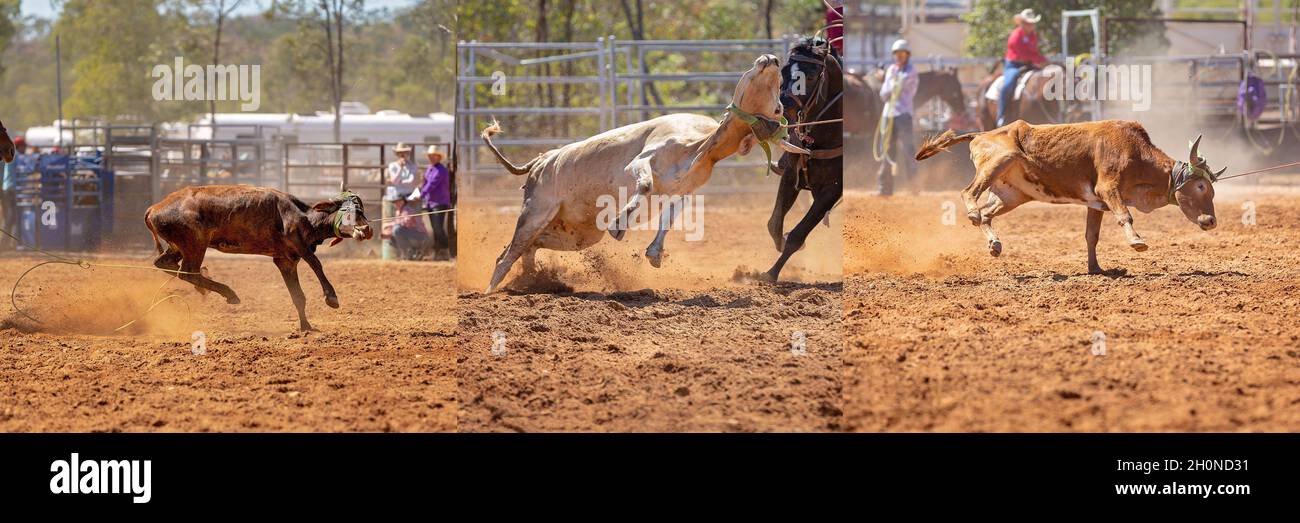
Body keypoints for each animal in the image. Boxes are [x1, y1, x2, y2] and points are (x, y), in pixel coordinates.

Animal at [144, 185, 374, 331]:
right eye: (349, 211)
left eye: (362, 210)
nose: (367, 230)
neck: (302, 216)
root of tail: (154, 208)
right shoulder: (299, 247)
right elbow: (316, 264)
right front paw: (331, 297)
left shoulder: (285, 260)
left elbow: (298, 296)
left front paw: (306, 327)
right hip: (195, 244)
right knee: (188, 271)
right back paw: (228, 293)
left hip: (178, 246)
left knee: (166, 264)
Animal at [914, 119, 1223, 274]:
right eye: (1200, 187)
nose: (1211, 221)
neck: (1135, 152)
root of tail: (982, 133)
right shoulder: (1107, 189)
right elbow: (1125, 215)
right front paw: (1137, 242)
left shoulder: (1097, 204)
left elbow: (1091, 236)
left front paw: (1096, 268)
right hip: (999, 161)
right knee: (969, 194)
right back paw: (973, 214)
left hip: (1012, 194)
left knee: (988, 213)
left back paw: (995, 244)